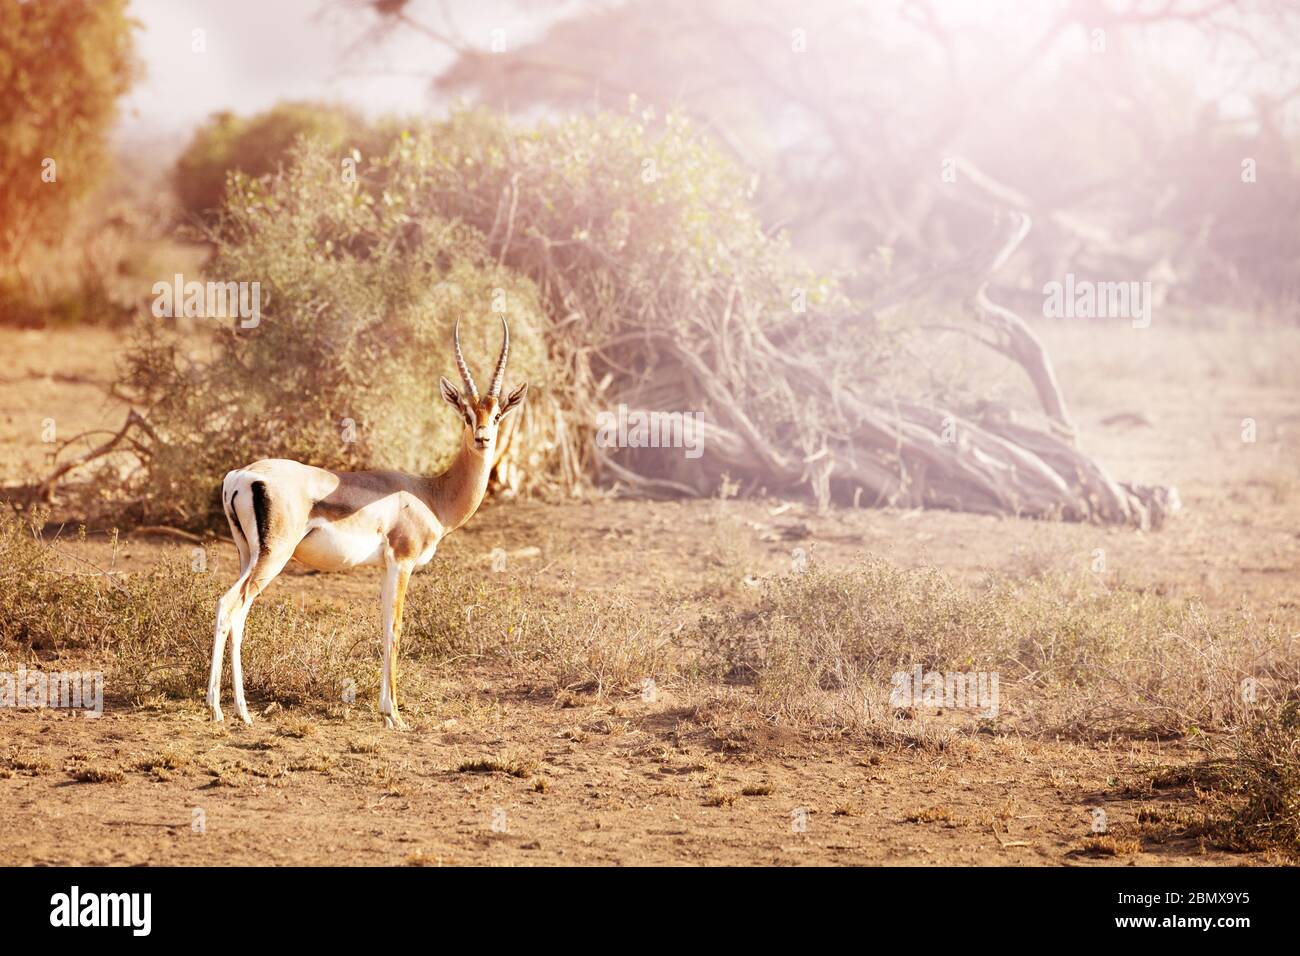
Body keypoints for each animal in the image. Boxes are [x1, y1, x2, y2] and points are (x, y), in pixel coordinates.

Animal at [206, 318, 527, 729]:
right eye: (466, 413)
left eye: (496, 414)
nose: (483, 438)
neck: (431, 495)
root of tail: (240, 476)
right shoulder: (402, 562)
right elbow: (396, 628)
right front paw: (396, 716)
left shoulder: (385, 568)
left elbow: (384, 624)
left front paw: (386, 710)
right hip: (272, 557)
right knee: (230, 604)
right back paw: (224, 709)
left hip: (246, 554)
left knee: (236, 613)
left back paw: (237, 710)